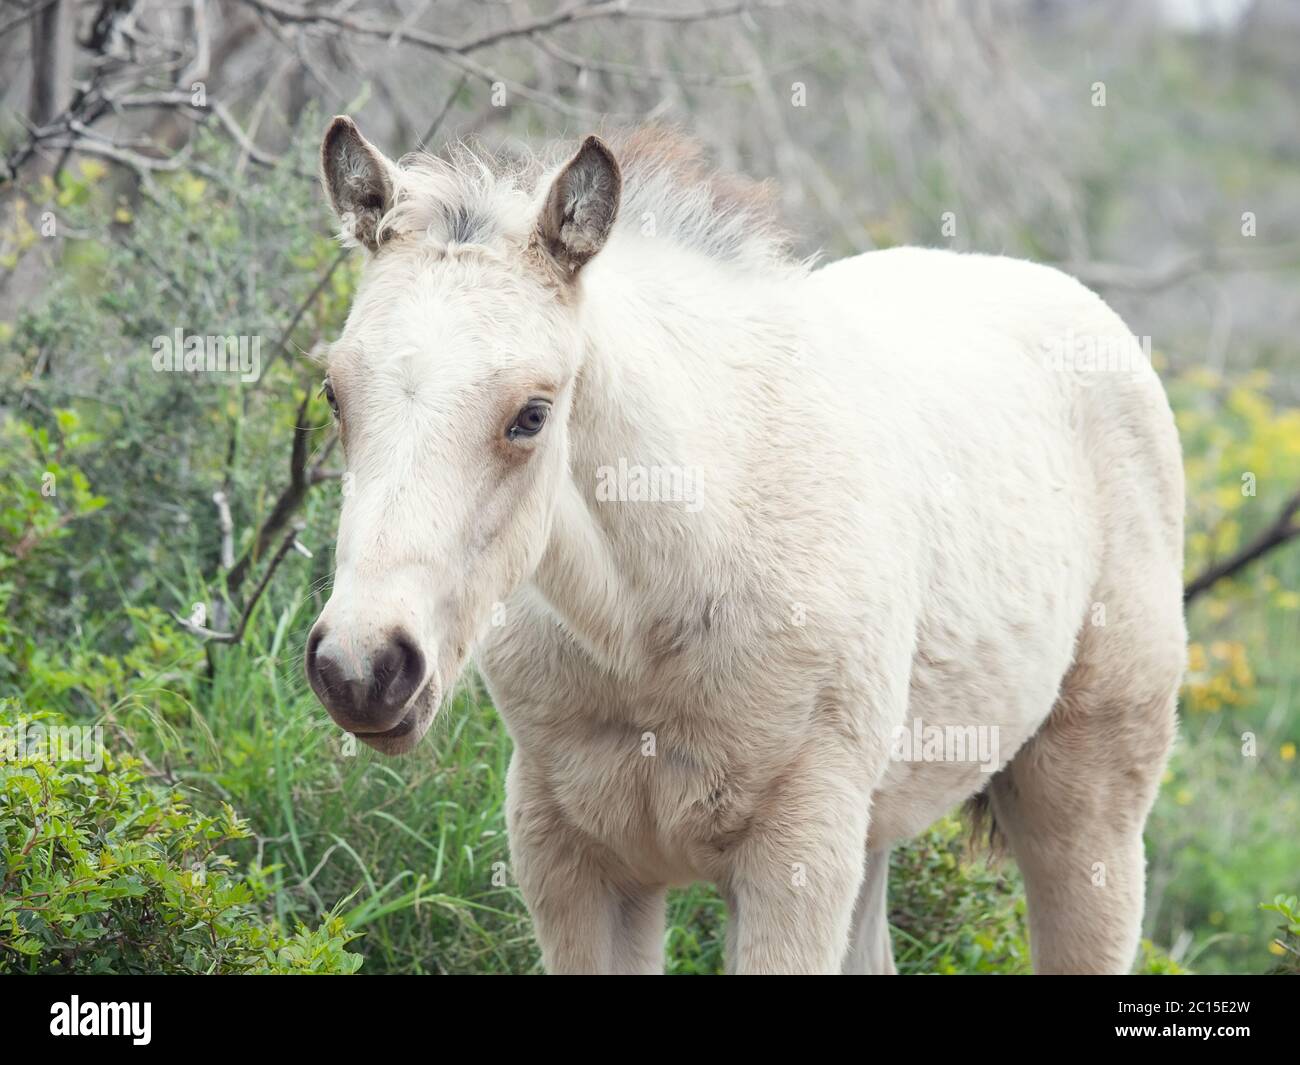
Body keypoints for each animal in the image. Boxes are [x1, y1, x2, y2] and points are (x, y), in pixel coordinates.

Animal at [305, 117, 1186, 974]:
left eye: (532, 413)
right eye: (335, 393)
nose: (362, 666)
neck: (656, 624)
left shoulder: (794, 860)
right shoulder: (573, 856)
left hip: (1087, 811)